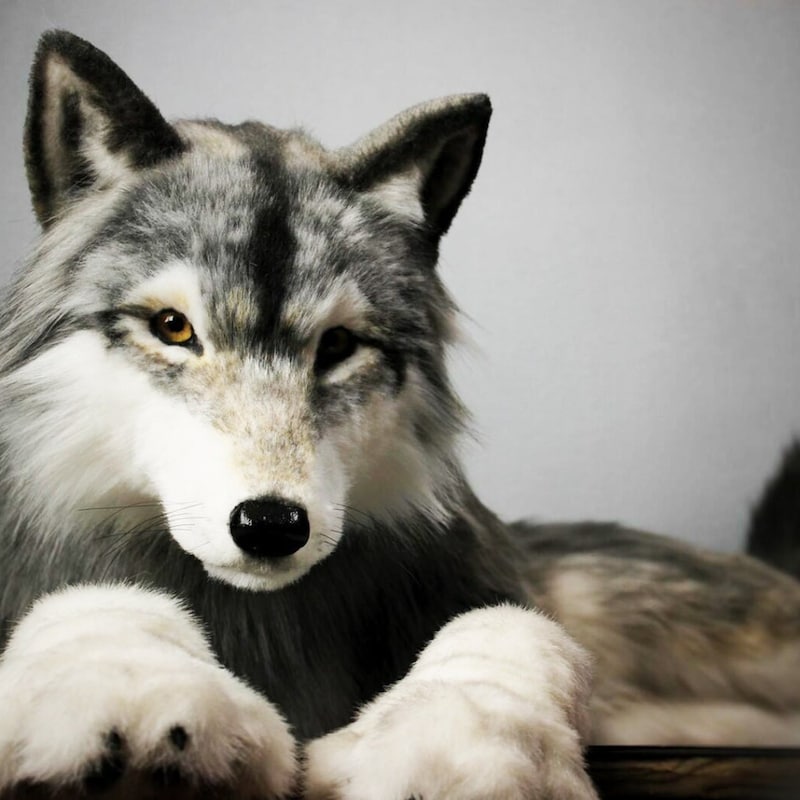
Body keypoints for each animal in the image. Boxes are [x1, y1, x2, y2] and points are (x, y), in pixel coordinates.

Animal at [0, 30, 798, 800]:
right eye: (173, 327)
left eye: (338, 345)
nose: (271, 525)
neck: (265, 630)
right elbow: (101, 605)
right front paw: (138, 709)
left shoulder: (504, 599)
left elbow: (505, 626)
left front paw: (449, 750)